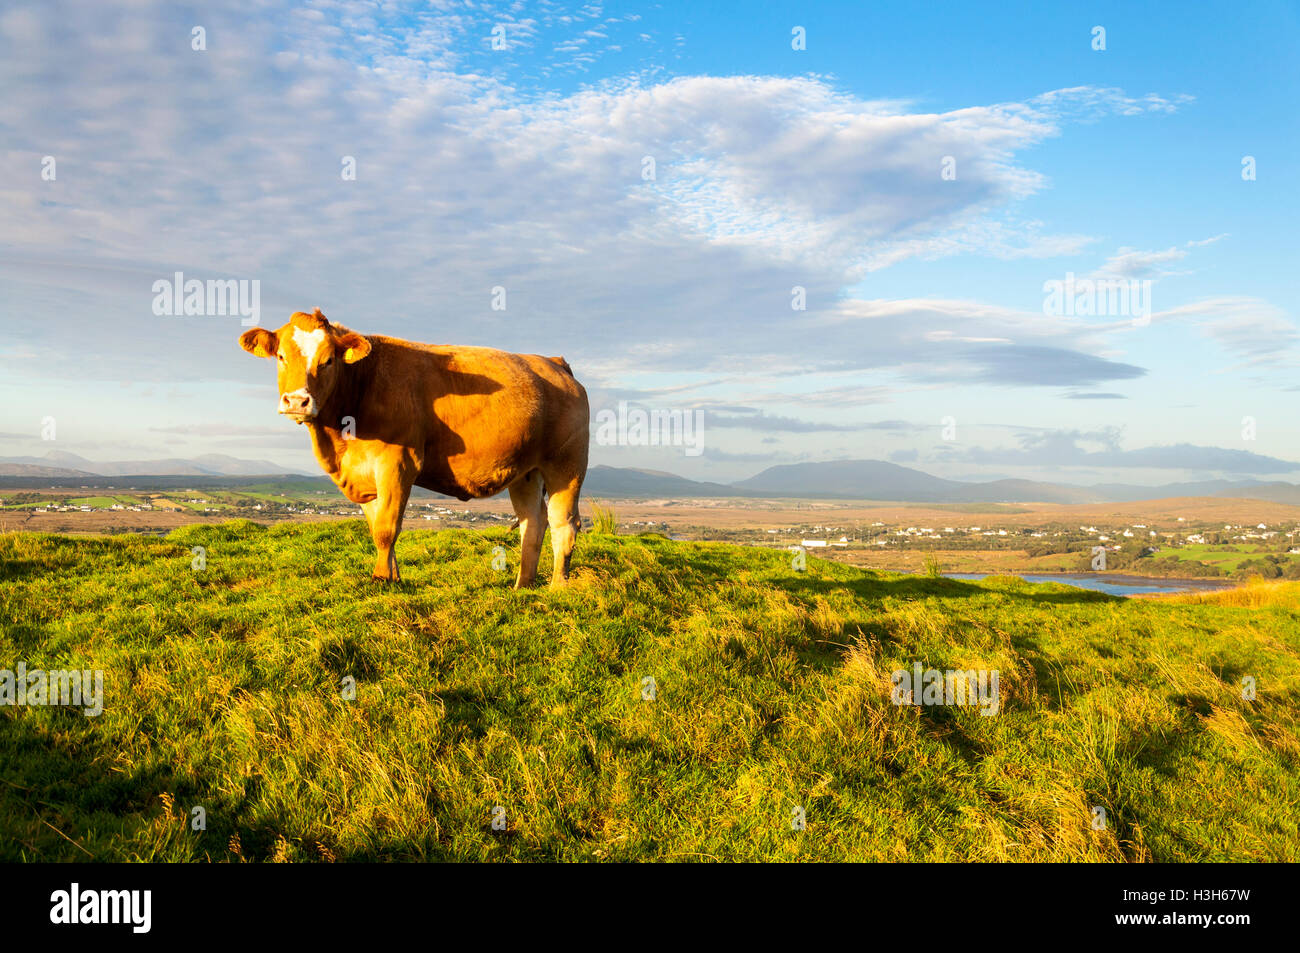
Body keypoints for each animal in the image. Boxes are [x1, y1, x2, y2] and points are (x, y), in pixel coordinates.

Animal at [238, 309, 589, 588]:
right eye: (281, 357)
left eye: (327, 360)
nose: (297, 401)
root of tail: (554, 363)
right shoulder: (366, 476)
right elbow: (377, 526)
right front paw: (393, 578)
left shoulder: (397, 463)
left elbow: (387, 527)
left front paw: (380, 579)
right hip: (526, 470)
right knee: (533, 522)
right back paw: (522, 586)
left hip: (566, 463)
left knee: (563, 523)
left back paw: (557, 587)